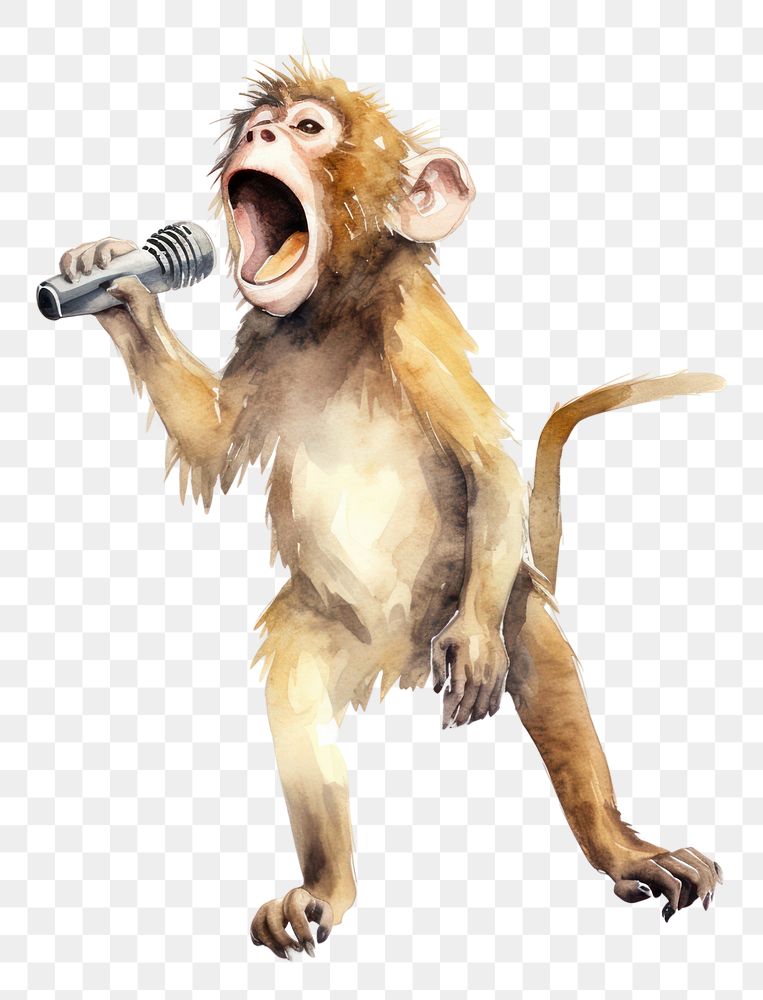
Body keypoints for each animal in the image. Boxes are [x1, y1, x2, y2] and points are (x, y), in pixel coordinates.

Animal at [57, 58, 724, 959]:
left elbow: (488, 466)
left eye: (308, 129)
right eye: (257, 127)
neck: (328, 314)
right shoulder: (263, 345)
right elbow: (213, 442)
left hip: (492, 589)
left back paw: (621, 848)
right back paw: (322, 889)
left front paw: (474, 648)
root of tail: (398, 660)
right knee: (297, 698)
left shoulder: (414, 329)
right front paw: (118, 283)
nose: (261, 134)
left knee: (538, 659)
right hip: (328, 628)